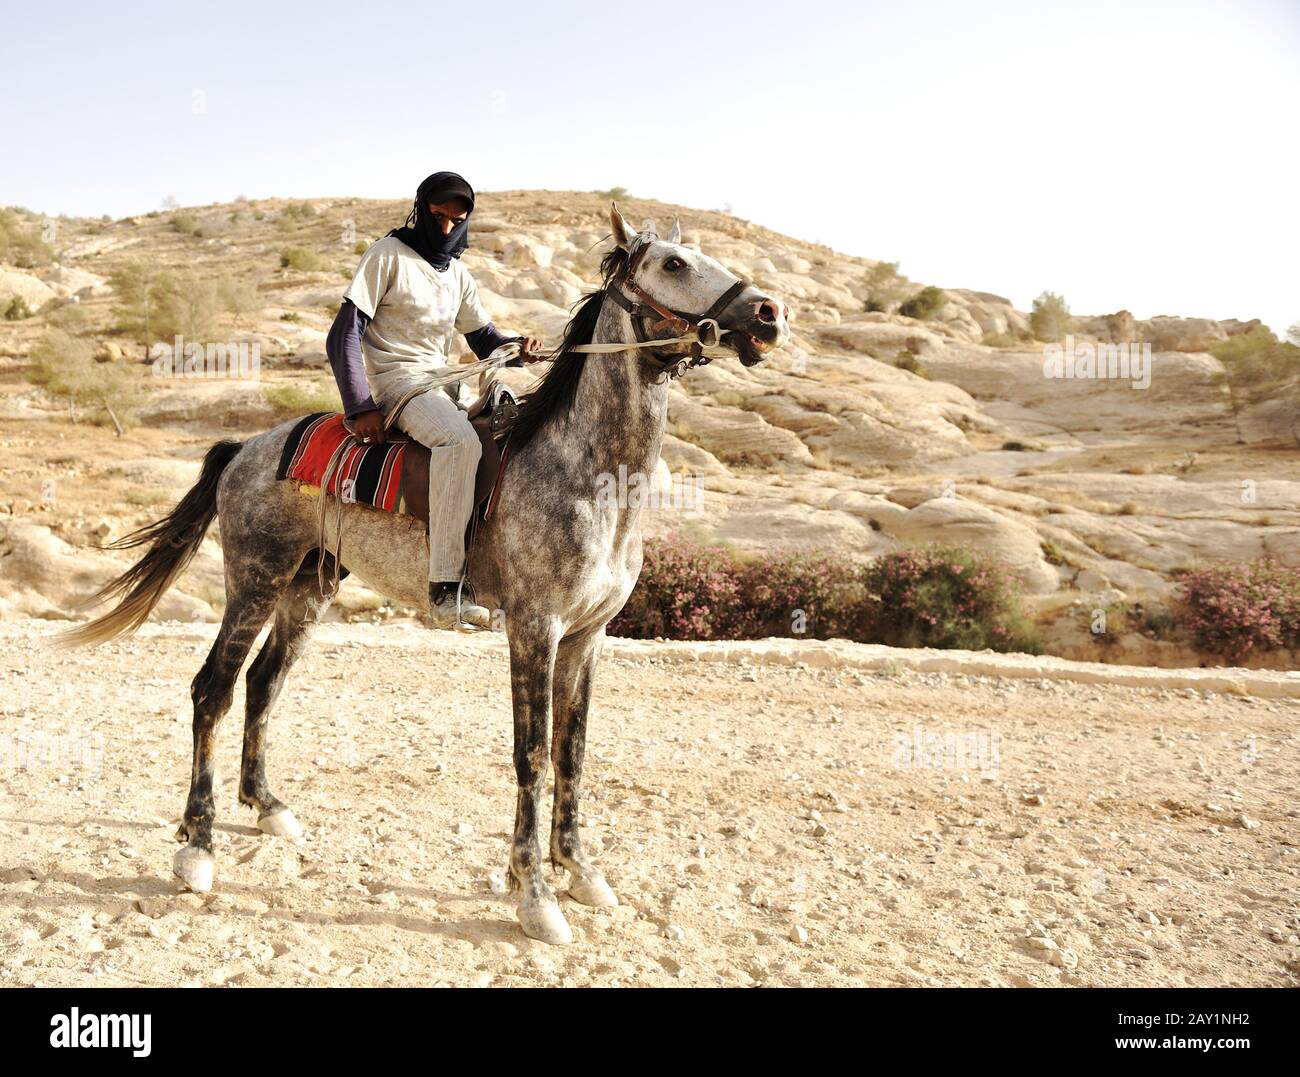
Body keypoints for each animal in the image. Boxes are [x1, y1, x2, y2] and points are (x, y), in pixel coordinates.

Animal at [63, 205, 790, 944]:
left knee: (265, 683)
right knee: (213, 689)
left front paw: (580, 870)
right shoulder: (534, 627)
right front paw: (534, 893)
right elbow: (531, 752)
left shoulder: (588, 635)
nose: (769, 312)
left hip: (310, 586)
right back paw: (197, 848)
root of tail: (247, 449)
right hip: (255, 578)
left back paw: (268, 807)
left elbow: (573, 750)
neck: (585, 470)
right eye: (673, 263)